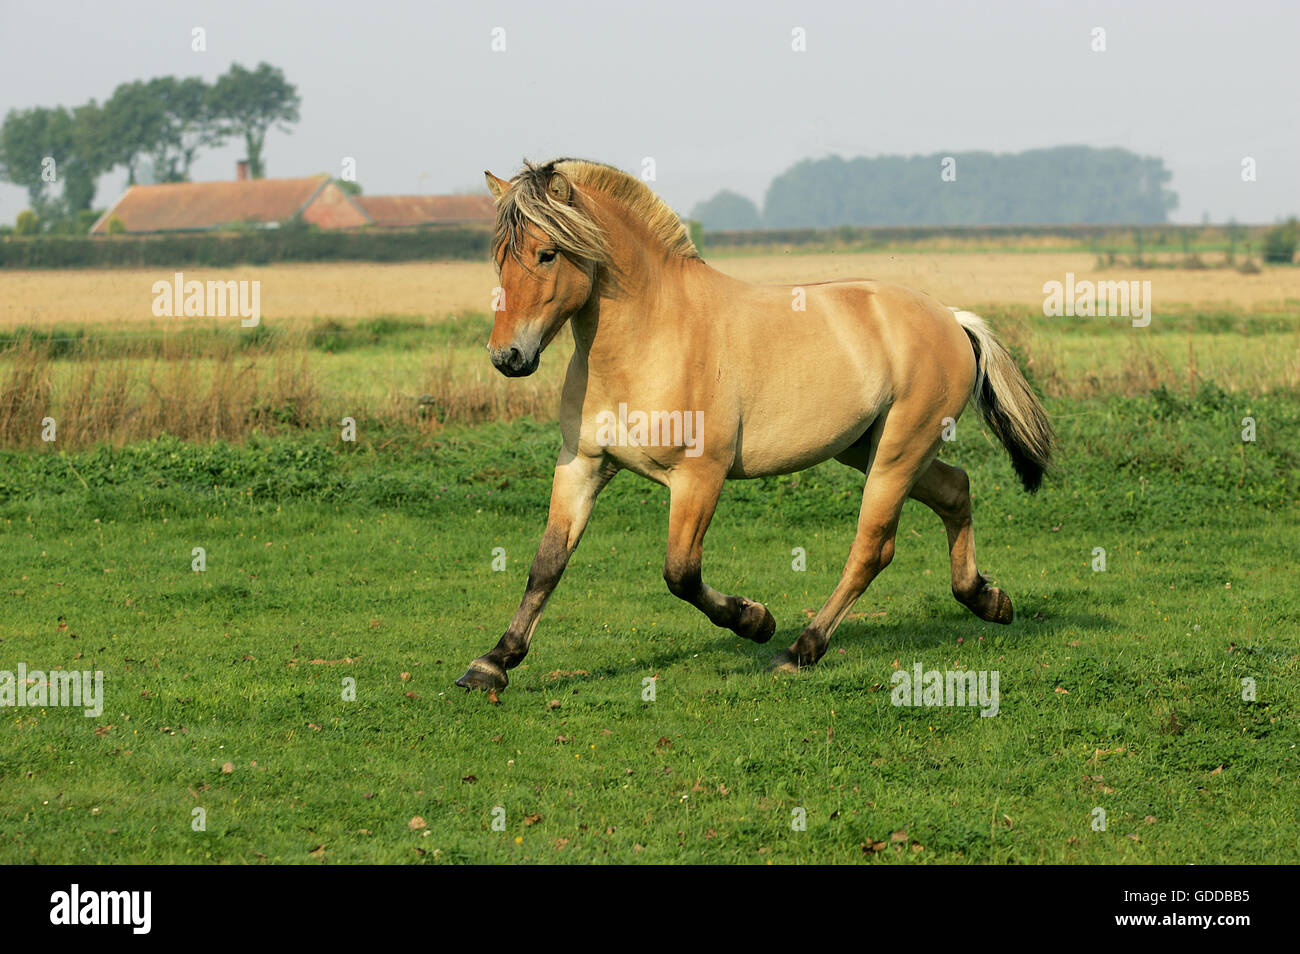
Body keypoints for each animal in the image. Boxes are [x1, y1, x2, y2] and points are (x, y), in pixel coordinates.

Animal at [456, 158, 1054, 693]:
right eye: (499, 259)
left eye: (547, 253)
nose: (508, 357)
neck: (652, 337)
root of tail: (950, 318)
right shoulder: (583, 465)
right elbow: (547, 564)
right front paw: (492, 664)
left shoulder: (699, 478)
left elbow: (681, 573)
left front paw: (755, 619)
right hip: (870, 448)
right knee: (955, 489)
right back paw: (987, 600)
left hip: (898, 455)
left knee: (872, 549)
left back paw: (799, 649)